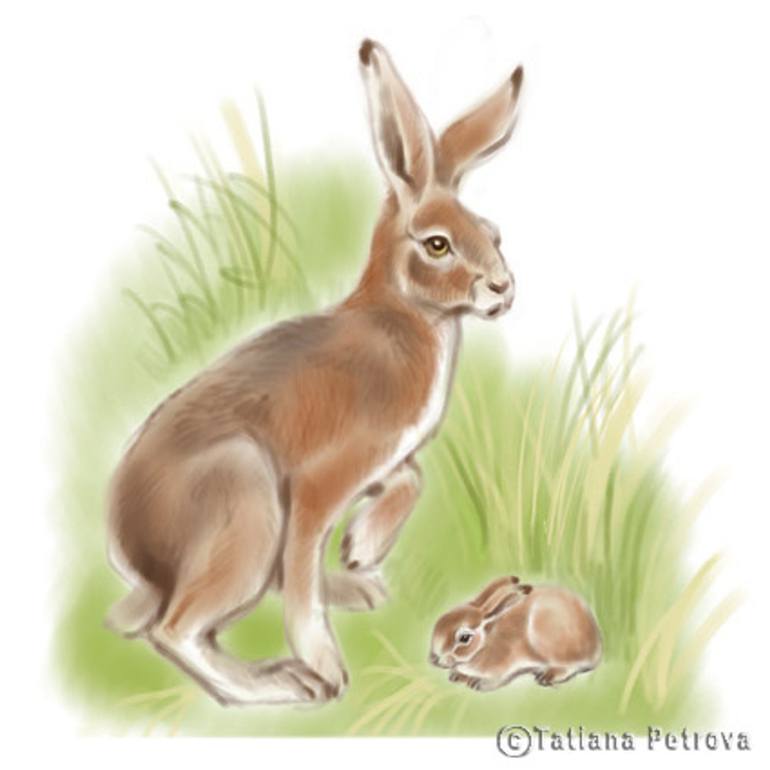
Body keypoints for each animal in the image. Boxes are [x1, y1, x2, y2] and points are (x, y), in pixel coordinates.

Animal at [105, 39, 524, 707]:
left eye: (492, 233)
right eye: (437, 244)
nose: (503, 289)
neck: (403, 315)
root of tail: (136, 556)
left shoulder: (386, 459)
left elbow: (412, 481)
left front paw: (360, 549)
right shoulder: (319, 483)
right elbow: (302, 578)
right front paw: (328, 667)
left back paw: (353, 589)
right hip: (247, 503)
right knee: (178, 629)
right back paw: (277, 683)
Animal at [430, 576, 602, 690]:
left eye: (464, 638)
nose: (434, 659)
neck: (485, 642)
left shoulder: (501, 669)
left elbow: (492, 681)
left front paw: (474, 682)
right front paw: (457, 676)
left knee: (570, 666)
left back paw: (547, 676)